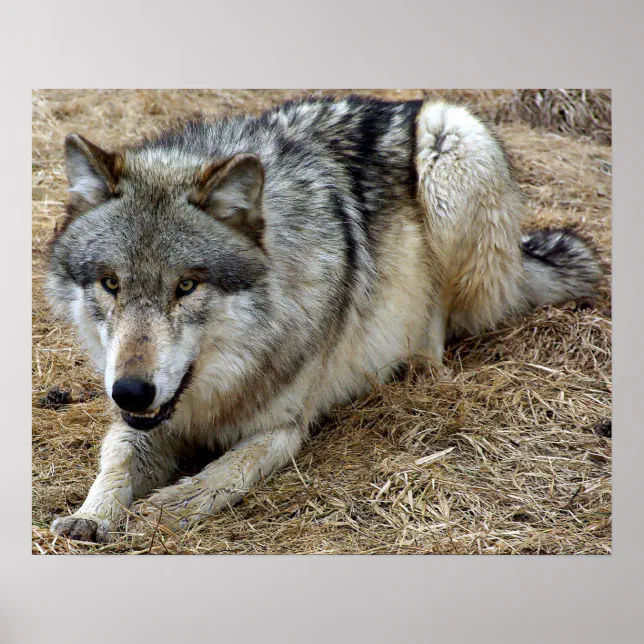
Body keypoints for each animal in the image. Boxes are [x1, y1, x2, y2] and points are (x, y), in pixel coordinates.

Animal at [47, 95, 601, 542]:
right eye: (111, 284)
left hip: (450, 145)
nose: (130, 391)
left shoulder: (283, 428)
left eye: (186, 286)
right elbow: (117, 457)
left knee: (441, 318)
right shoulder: (142, 418)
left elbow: (225, 474)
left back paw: (419, 367)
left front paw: (167, 508)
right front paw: (89, 515)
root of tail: (399, 101)